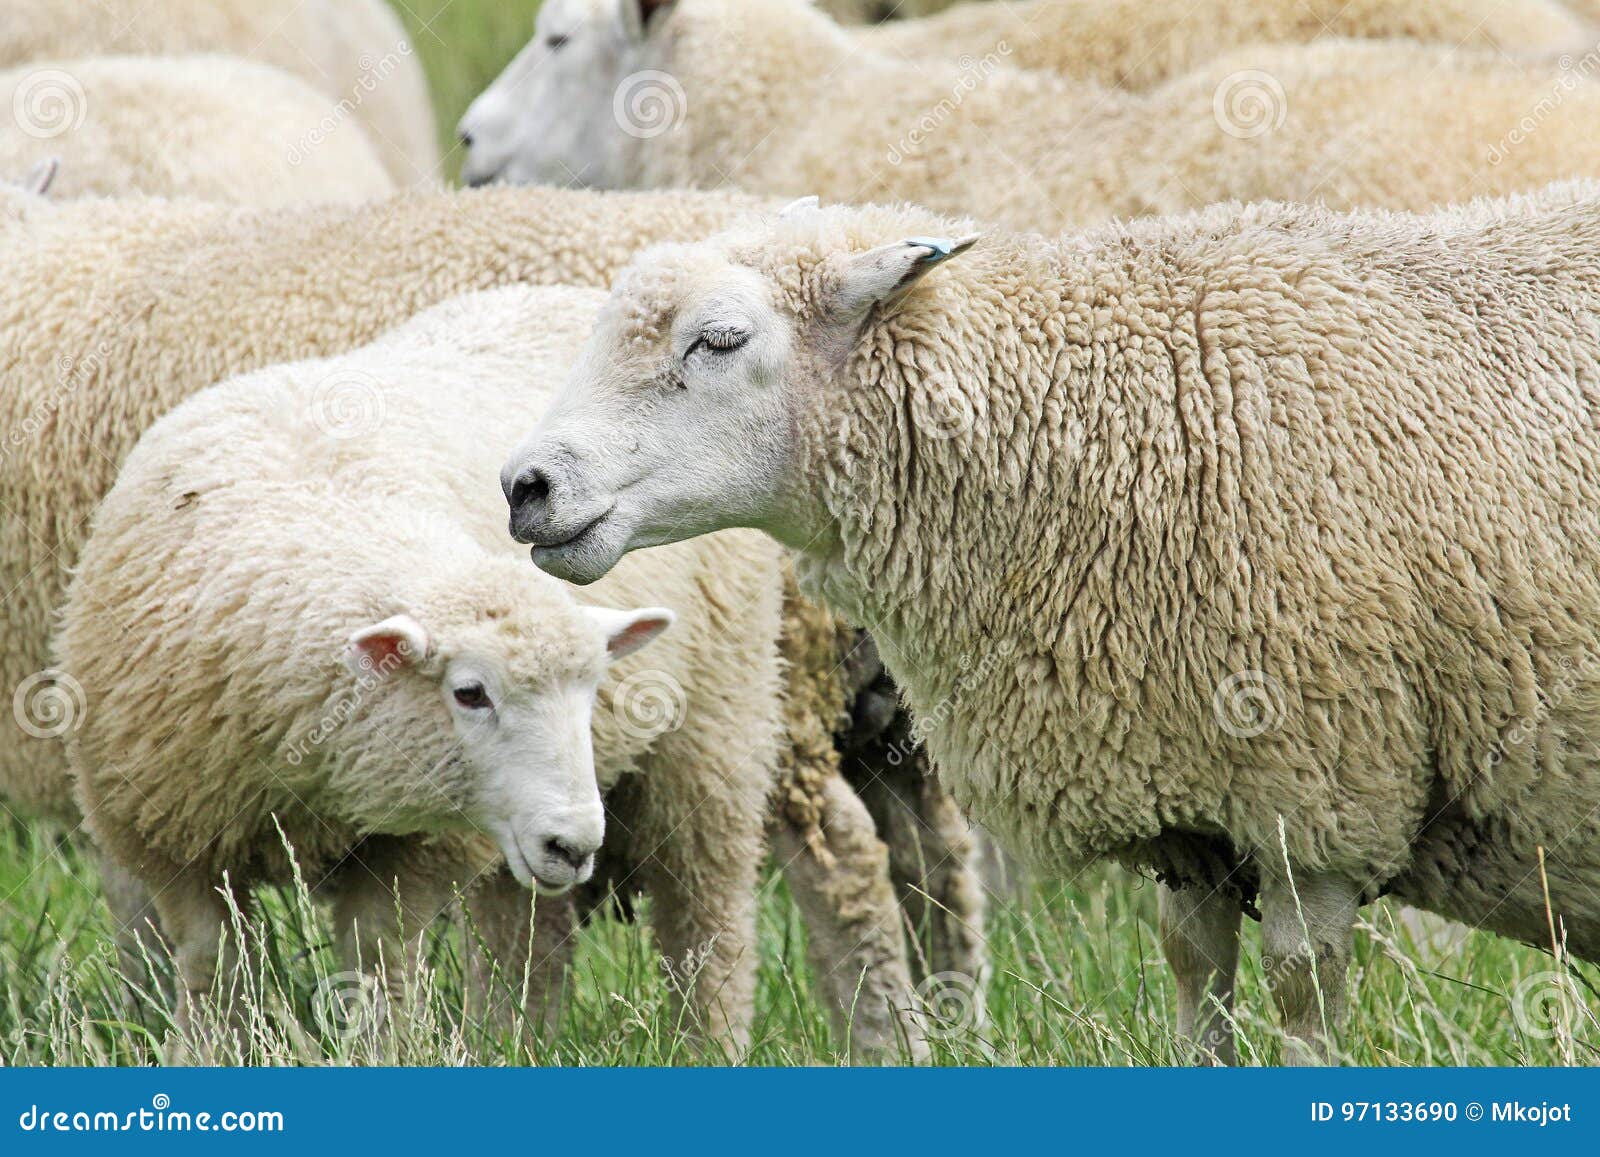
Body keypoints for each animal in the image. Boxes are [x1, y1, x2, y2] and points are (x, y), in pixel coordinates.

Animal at [0, 186, 943, 1058]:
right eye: (469, 693)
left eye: (591, 691)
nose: (576, 839)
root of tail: (557, 295)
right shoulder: (174, 839)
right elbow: (211, 973)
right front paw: (200, 1046)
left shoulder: (411, 850)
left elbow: (378, 971)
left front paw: (382, 1051)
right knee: (534, 933)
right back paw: (517, 1042)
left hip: (720, 724)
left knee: (713, 908)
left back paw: (726, 1043)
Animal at [503, 185, 1600, 1064]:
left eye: (720, 340)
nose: (525, 485)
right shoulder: (1187, 804)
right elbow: (1194, 974)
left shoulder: (1321, 795)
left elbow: (1300, 999)